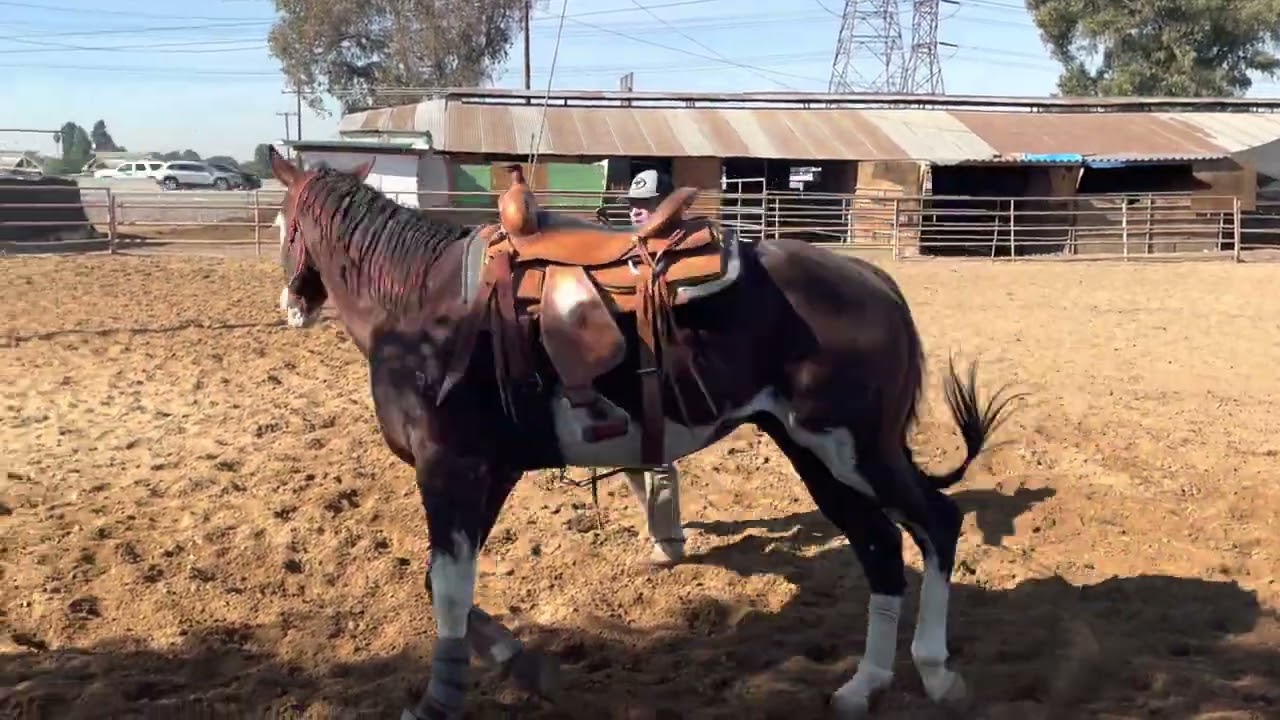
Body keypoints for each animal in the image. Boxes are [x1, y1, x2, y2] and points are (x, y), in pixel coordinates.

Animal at [268, 146, 1019, 719]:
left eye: (283, 225)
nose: (292, 305)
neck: (426, 309)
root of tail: (874, 280)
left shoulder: (449, 467)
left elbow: (448, 588)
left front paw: (438, 700)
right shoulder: (487, 470)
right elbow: (438, 582)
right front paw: (523, 665)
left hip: (854, 448)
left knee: (936, 524)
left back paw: (935, 671)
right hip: (816, 453)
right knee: (881, 546)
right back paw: (865, 683)